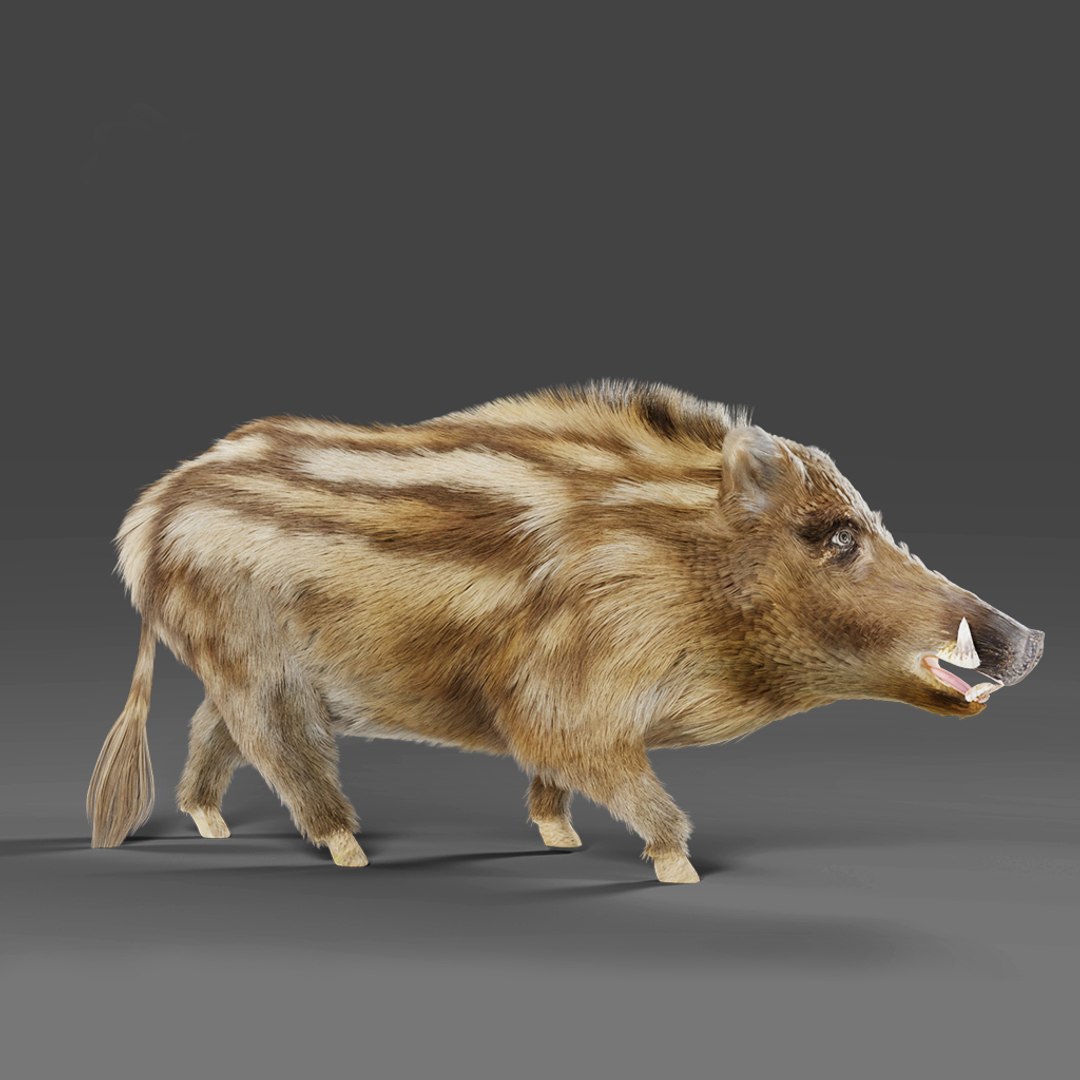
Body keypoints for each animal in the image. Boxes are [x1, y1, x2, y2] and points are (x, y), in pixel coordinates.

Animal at [87, 381, 1045, 883]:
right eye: (840, 539)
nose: (1031, 638)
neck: (686, 568)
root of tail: (153, 511)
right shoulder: (571, 699)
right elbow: (621, 781)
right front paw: (680, 870)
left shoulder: (555, 710)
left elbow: (551, 779)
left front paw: (561, 839)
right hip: (259, 668)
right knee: (280, 749)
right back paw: (349, 852)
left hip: (234, 668)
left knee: (209, 733)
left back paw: (211, 827)